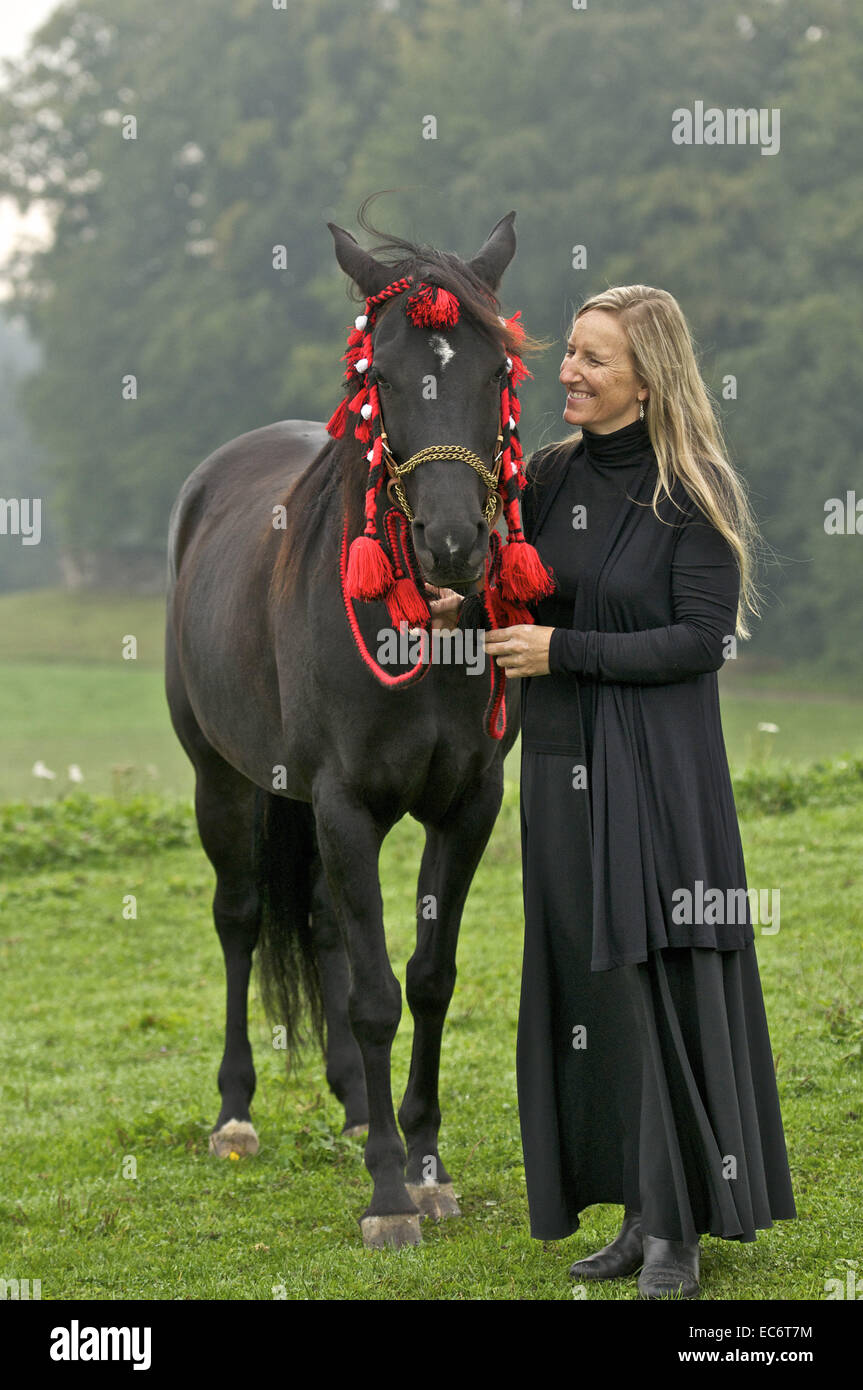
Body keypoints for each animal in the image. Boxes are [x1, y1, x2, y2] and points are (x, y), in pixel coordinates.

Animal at [165, 209, 541, 1249]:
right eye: (384, 381)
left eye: (495, 373)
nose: (451, 545)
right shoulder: (344, 804)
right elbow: (375, 998)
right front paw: (387, 1197)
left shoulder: (467, 805)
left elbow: (427, 977)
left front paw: (423, 1161)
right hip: (222, 779)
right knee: (241, 918)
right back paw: (236, 1115)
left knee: (327, 924)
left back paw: (354, 1104)